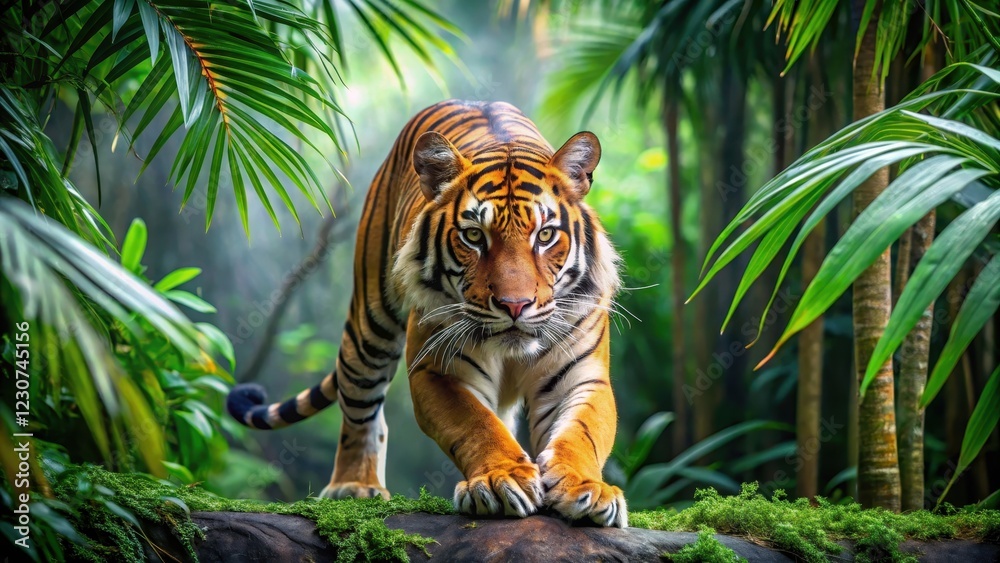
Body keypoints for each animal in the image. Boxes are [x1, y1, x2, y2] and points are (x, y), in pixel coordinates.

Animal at [227, 99, 627, 527]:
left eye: (545, 235)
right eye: (474, 236)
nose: (514, 305)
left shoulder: (579, 376)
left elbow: (582, 433)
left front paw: (588, 488)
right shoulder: (438, 370)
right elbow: (477, 424)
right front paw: (500, 480)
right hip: (369, 327)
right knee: (360, 410)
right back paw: (353, 487)